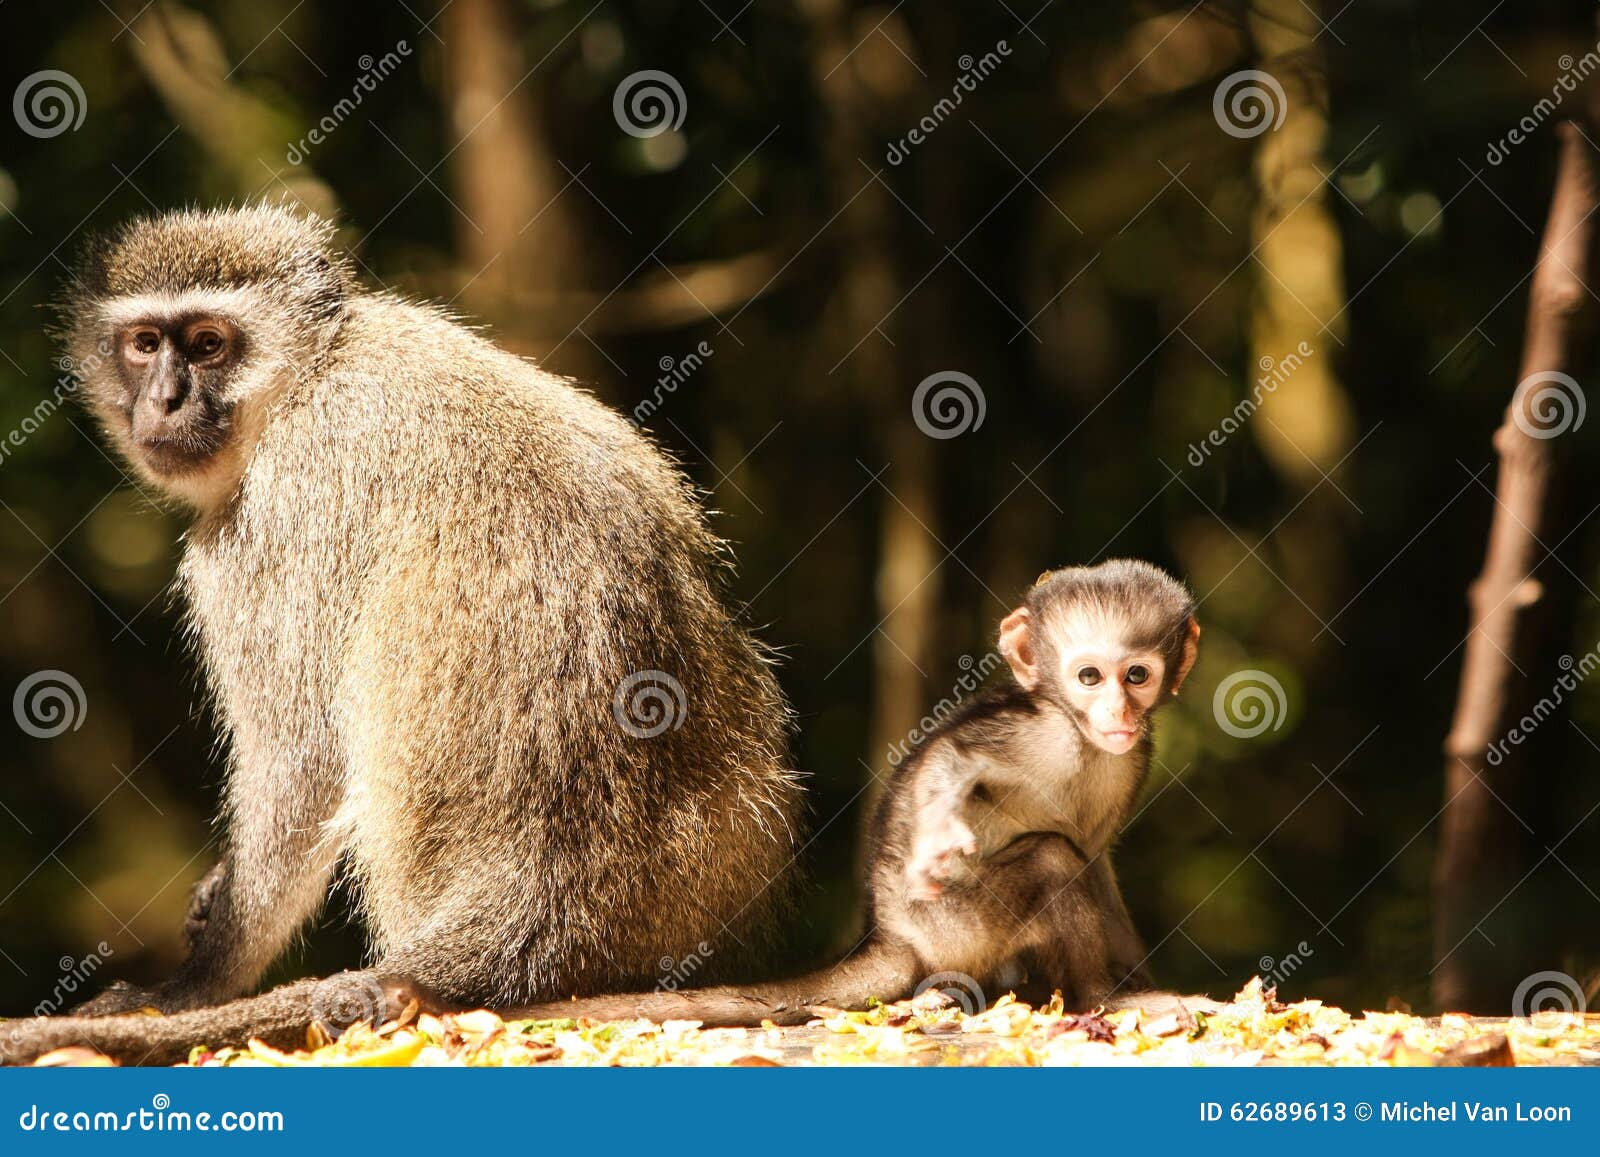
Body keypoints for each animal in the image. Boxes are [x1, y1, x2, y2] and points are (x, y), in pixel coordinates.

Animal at [1, 204, 804, 1066]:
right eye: (146, 343)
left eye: (210, 344)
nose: (166, 398)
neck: (309, 376)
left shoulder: (266, 524)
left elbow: (302, 760)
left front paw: (198, 980)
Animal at [497, 559, 1202, 1027]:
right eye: (1089, 677)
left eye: (1137, 676)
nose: (1117, 712)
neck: (1082, 740)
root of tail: (890, 932)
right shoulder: (1037, 733)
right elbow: (952, 761)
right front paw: (938, 832)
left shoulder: (1131, 758)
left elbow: (1099, 863)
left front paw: (1143, 973)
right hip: (958, 927)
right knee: (1053, 859)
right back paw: (1099, 998)